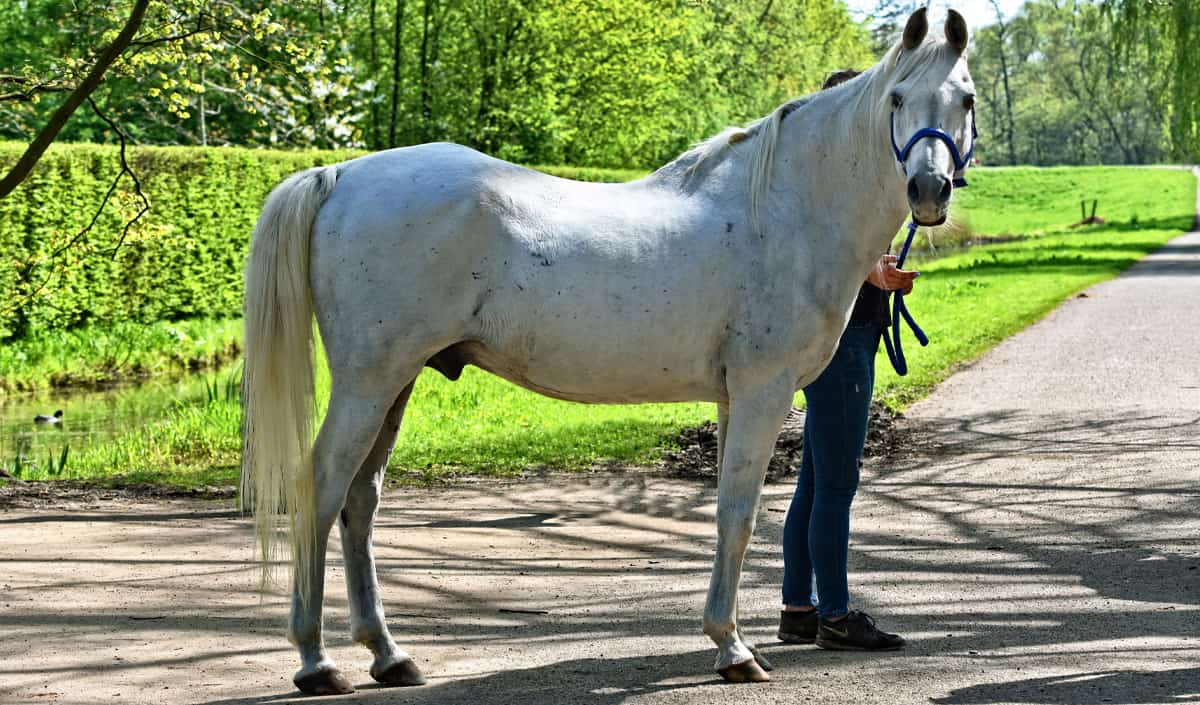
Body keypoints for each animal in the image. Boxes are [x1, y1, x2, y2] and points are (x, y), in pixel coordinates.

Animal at [241, 8, 974, 695]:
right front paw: (733, 650)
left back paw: (389, 656)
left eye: (964, 98)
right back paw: (316, 661)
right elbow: (738, 515)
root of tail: (339, 174)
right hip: (368, 382)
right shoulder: (763, 392)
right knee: (321, 490)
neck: (783, 208)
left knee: (360, 502)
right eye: (897, 98)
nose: (928, 191)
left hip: (395, 383)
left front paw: (728, 639)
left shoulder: (735, 397)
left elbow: (726, 515)